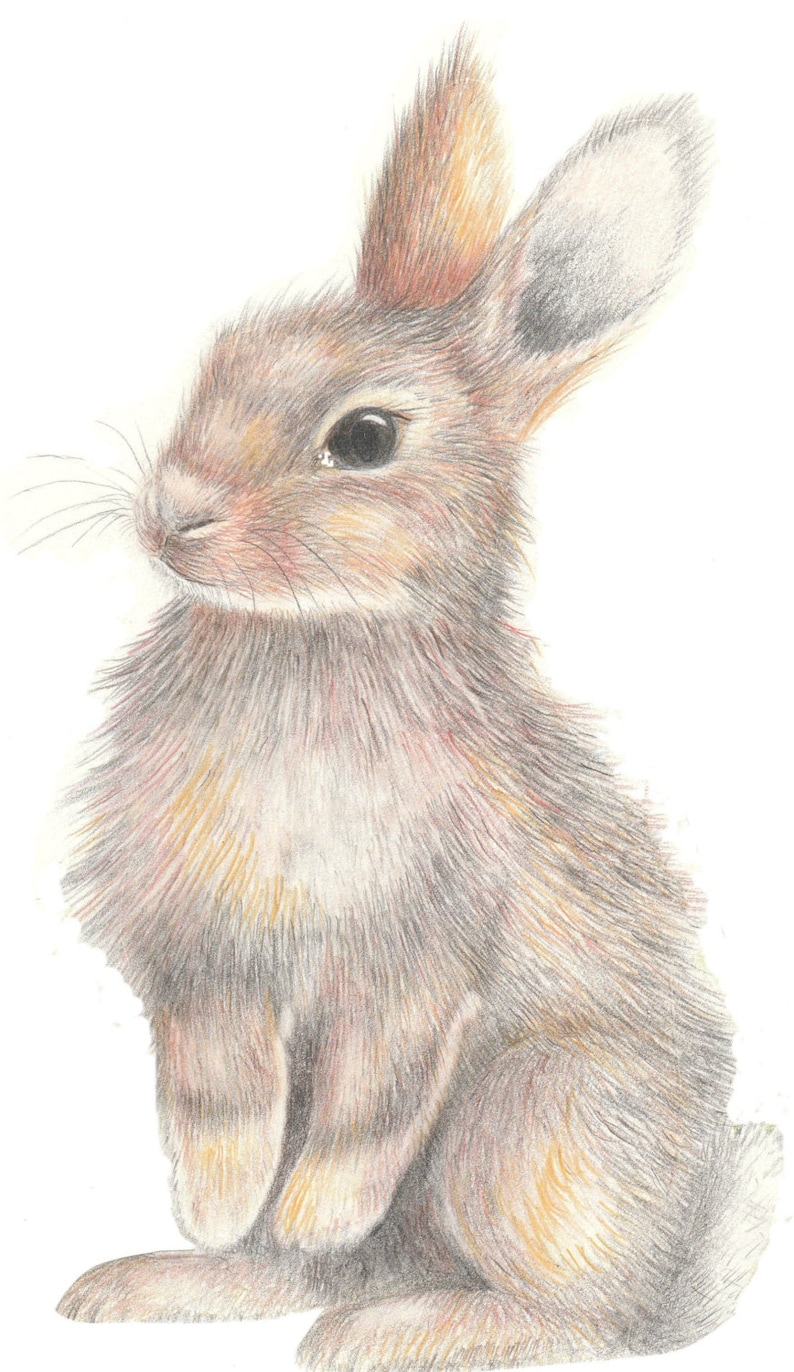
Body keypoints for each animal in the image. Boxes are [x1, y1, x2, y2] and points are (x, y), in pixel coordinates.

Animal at [54, 32, 782, 1370]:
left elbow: (368, 1103)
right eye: (221, 366)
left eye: (363, 440)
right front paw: (215, 1205)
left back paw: (391, 1323)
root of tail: (675, 1273)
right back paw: (168, 1280)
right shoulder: (207, 968)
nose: (172, 514)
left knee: (579, 1321)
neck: (314, 639)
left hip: (526, 1123)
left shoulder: (415, 960)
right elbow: (217, 1099)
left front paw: (314, 1204)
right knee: (304, 1270)